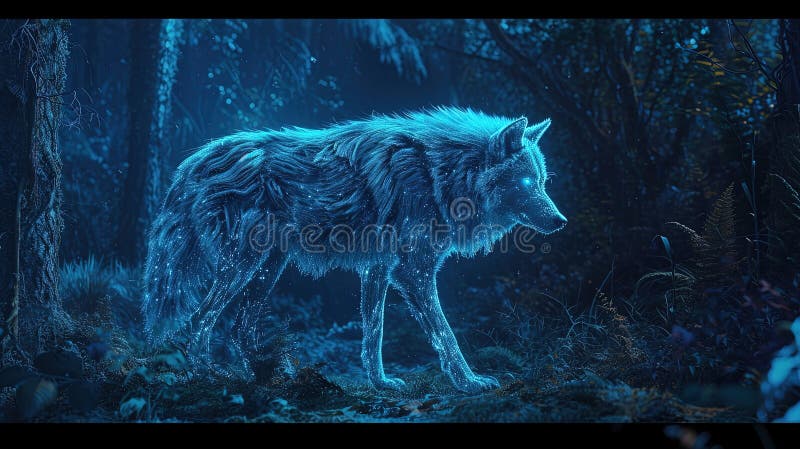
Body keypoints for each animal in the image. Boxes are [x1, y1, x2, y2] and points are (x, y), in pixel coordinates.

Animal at [142, 107, 567, 393]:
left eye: (545, 181)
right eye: (527, 183)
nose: (561, 220)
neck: (438, 172)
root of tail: (190, 163)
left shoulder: (378, 269)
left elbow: (372, 334)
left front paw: (381, 384)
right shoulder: (413, 272)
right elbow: (445, 334)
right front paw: (470, 382)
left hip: (267, 269)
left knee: (238, 328)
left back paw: (263, 382)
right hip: (242, 266)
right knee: (202, 319)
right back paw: (210, 378)